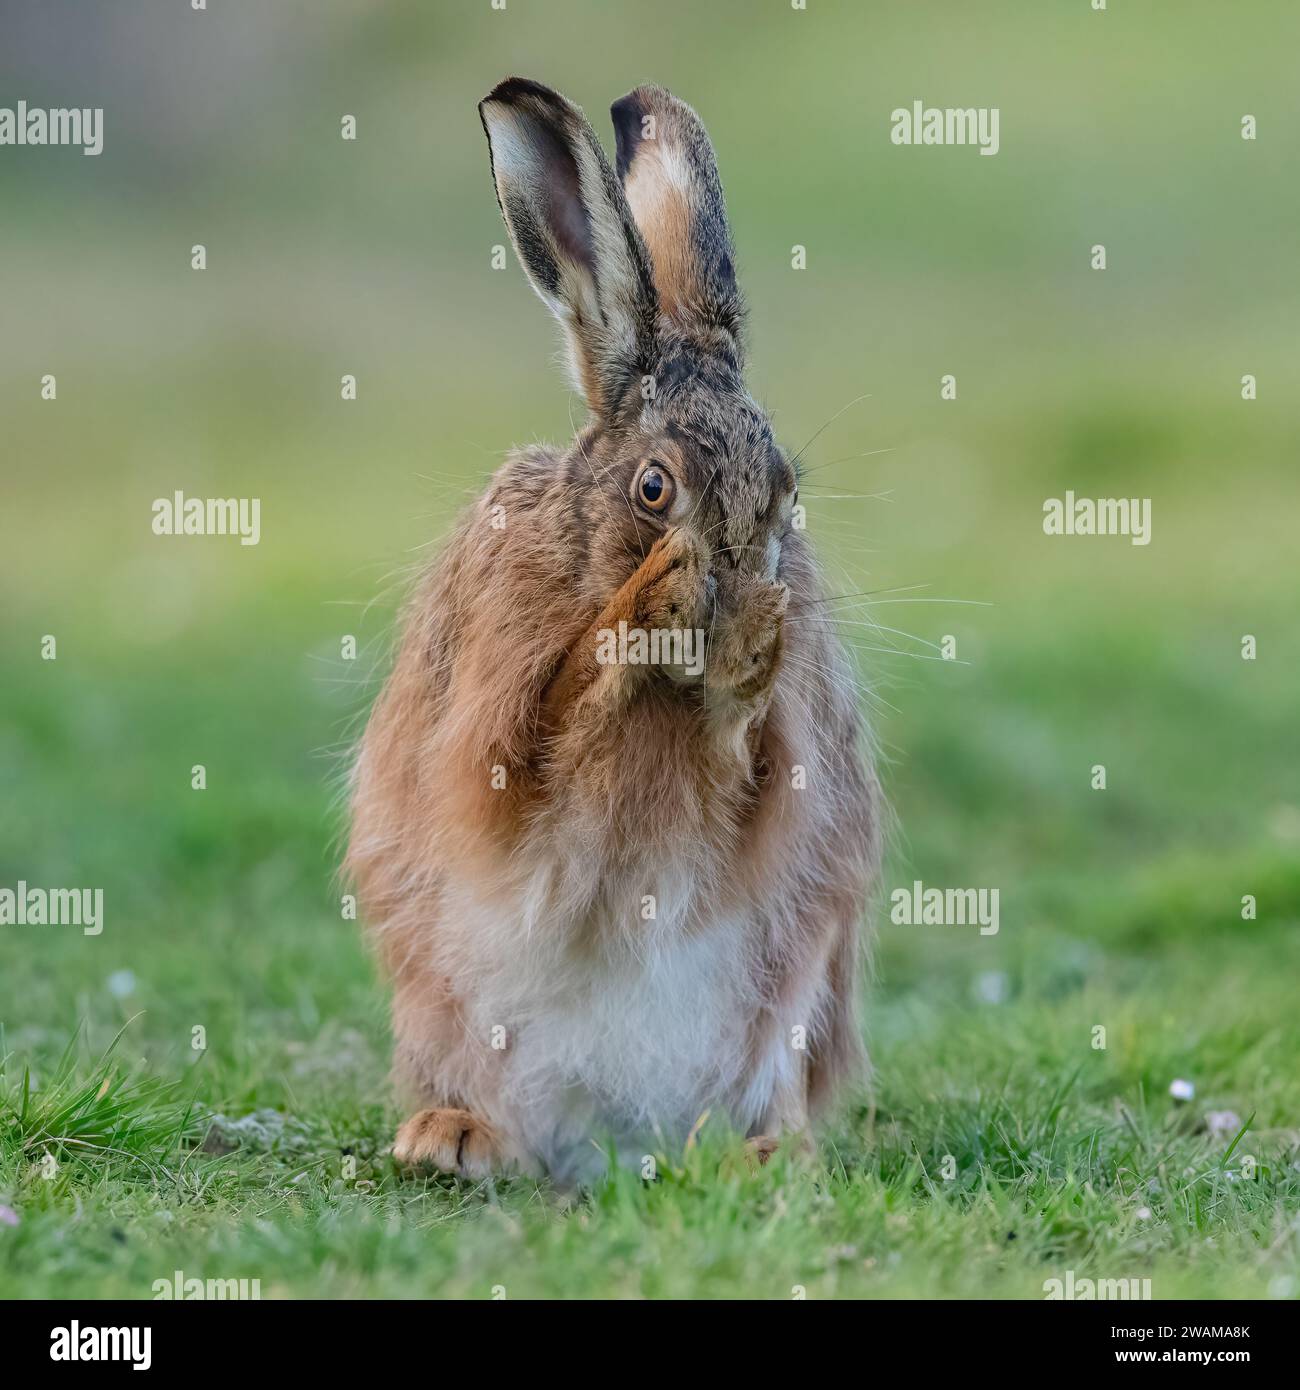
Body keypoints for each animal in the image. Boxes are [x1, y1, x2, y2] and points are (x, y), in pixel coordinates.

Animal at [347, 77, 879, 1185]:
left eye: (785, 491)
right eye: (654, 488)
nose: (735, 595)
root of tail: (617, 1142)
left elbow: (749, 773)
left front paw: (744, 655)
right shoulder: (493, 702)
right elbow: (539, 734)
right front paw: (646, 612)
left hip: (793, 996)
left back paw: (763, 1154)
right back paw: (453, 1137)